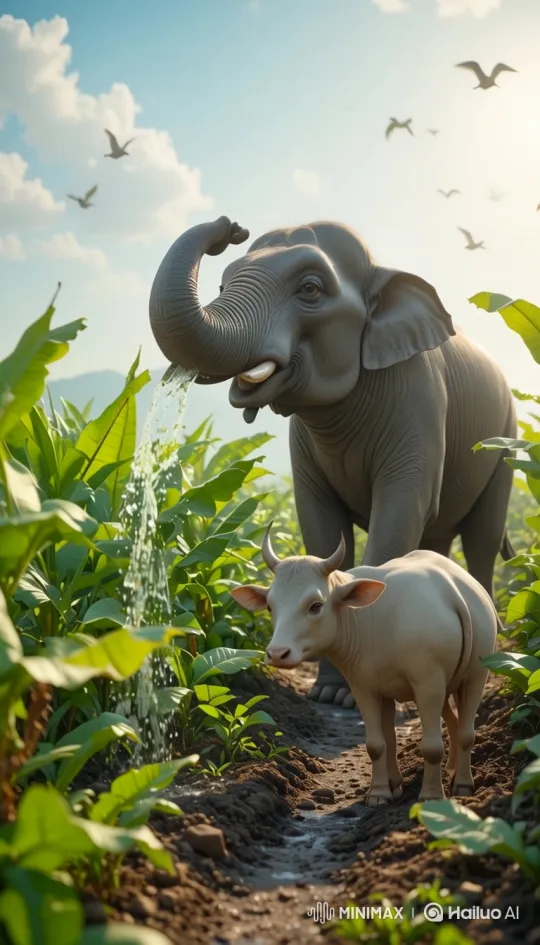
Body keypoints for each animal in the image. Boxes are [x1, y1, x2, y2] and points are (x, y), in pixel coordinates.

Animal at [149, 215, 516, 708]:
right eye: (223, 284)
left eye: (310, 289)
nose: (231, 227)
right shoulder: (302, 443)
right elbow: (319, 522)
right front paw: (328, 693)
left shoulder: (420, 399)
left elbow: (400, 510)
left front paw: (352, 697)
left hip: (505, 443)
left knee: (482, 537)